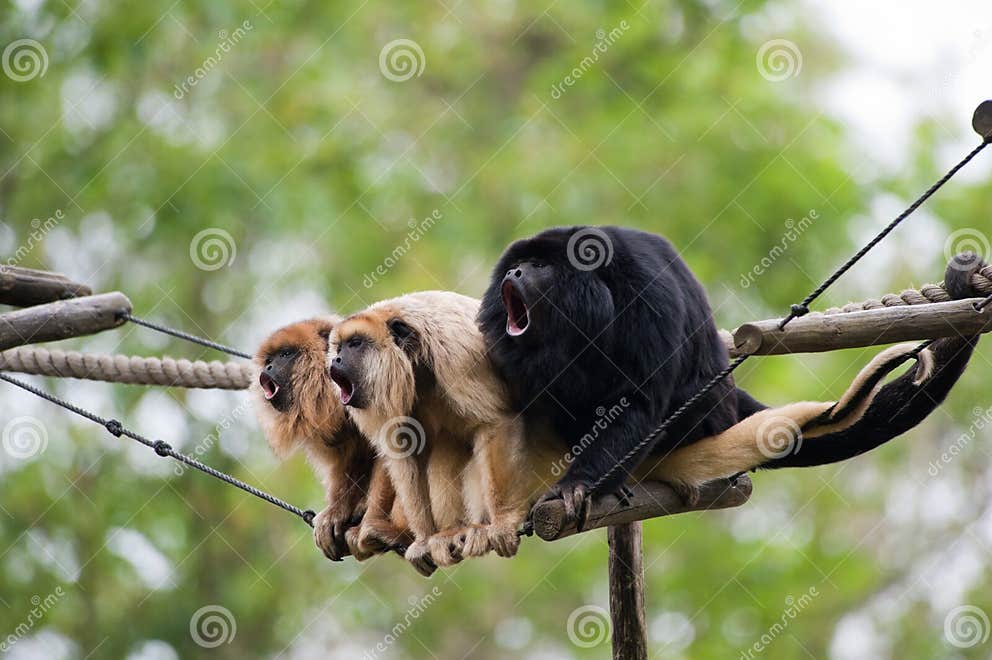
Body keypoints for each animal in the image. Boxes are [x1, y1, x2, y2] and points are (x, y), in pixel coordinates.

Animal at [252, 317, 411, 562]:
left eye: (286, 354)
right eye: (269, 360)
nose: (267, 368)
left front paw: (367, 527)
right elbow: (349, 459)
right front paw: (335, 514)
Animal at [477, 225, 982, 526]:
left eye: (540, 266)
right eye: (517, 265)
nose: (515, 271)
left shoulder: (645, 291)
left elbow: (639, 398)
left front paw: (577, 484)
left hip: (704, 418)